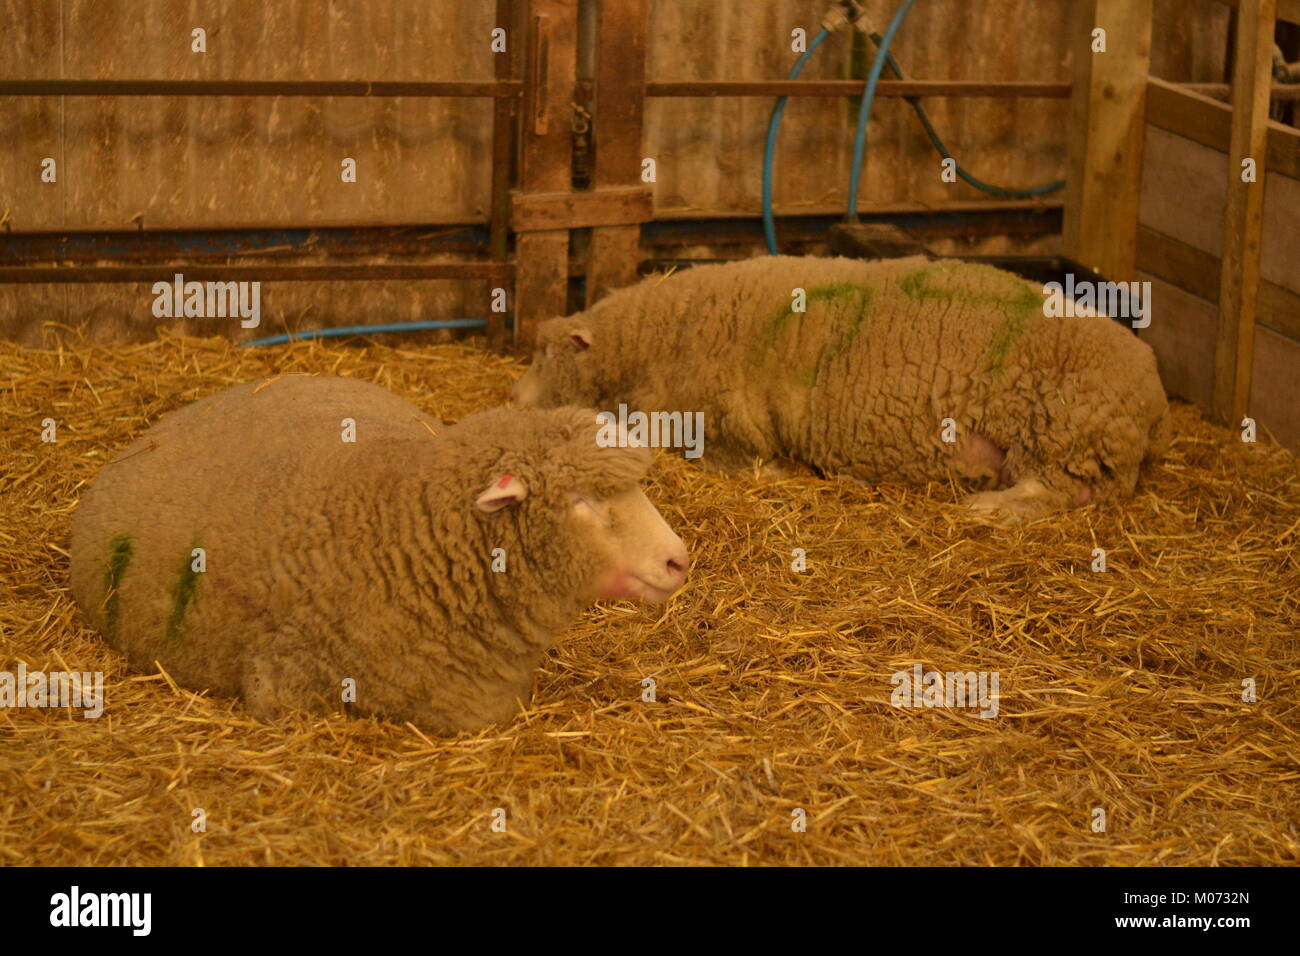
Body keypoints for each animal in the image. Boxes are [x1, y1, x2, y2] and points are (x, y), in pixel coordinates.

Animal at [512, 255, 1171, 522]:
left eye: (548, 355)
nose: (513, 400)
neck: (656, 341)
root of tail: (1153, 392)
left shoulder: (721, 427)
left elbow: (749, 464)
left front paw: (784, 474)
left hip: (1060, 431)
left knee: (1057, 492)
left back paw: (992, 508)